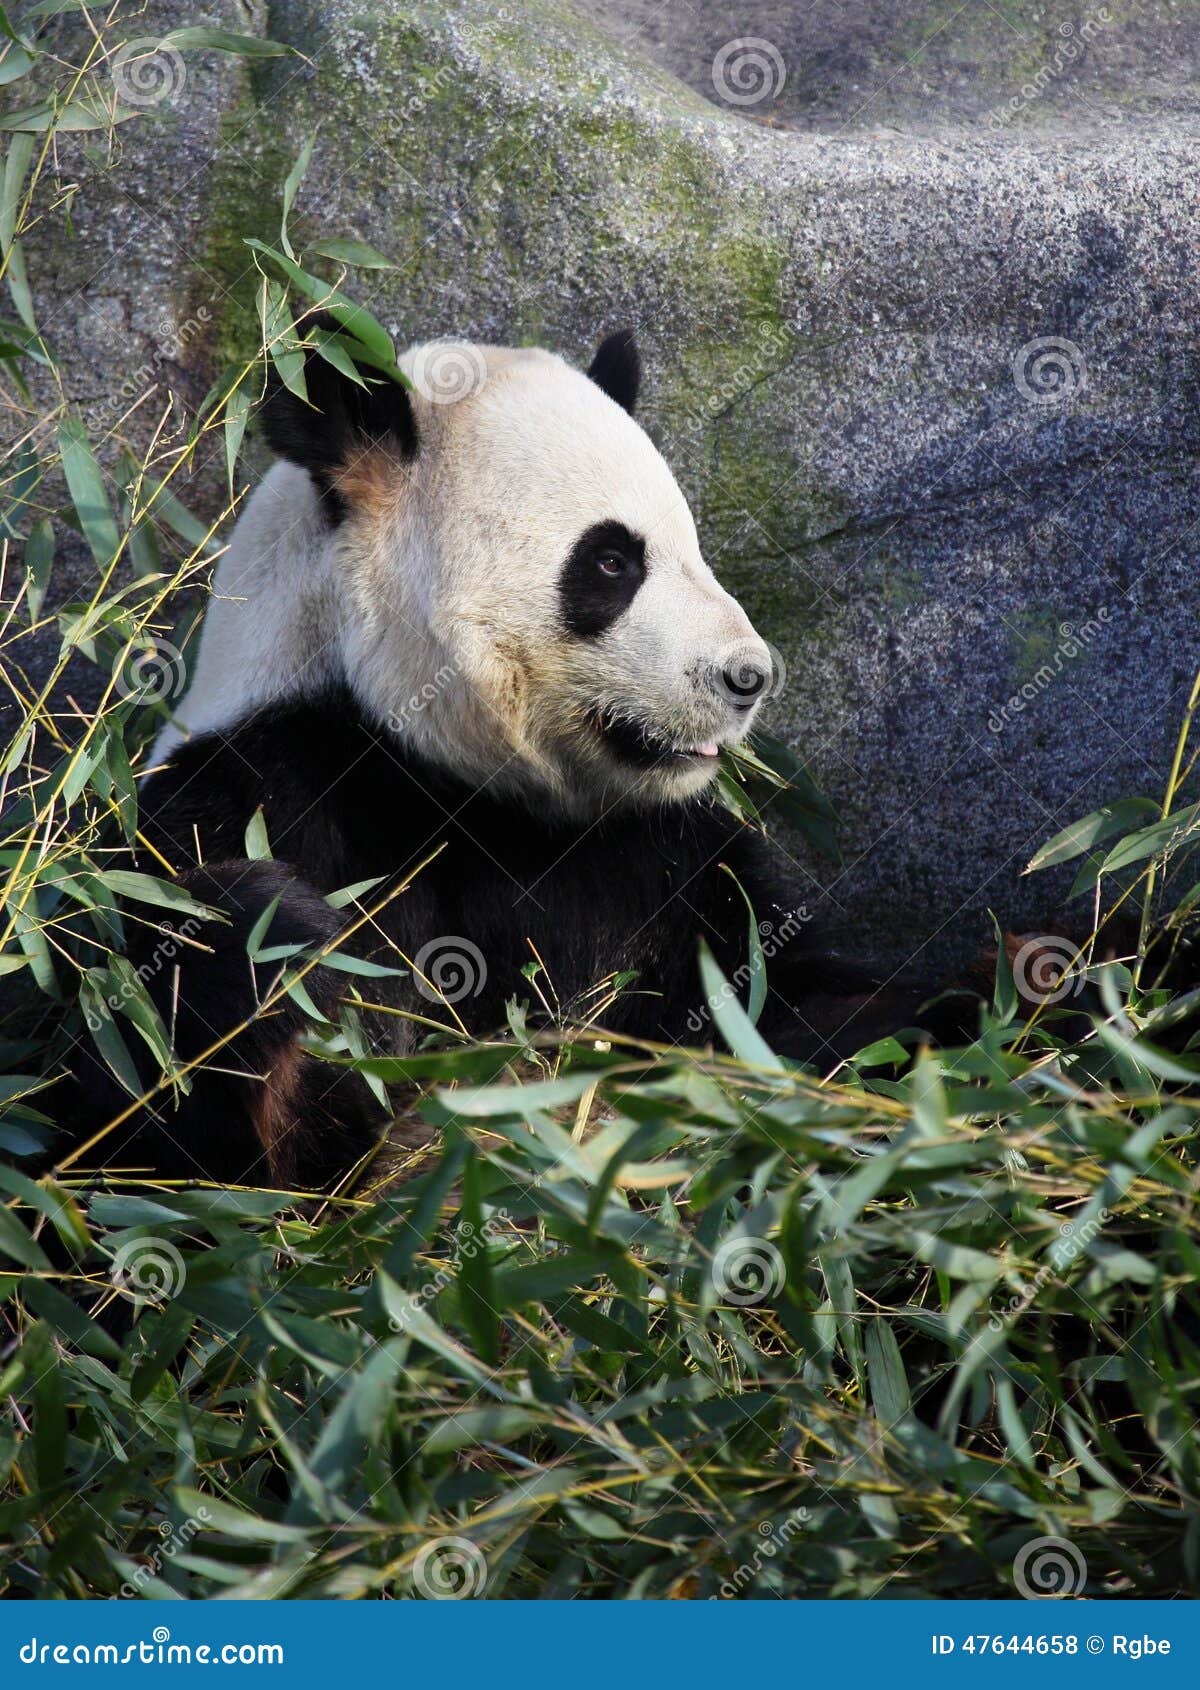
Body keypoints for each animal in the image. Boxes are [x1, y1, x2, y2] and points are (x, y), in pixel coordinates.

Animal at [63, 329, 964, 1188]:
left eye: (692, 545)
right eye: (612, 561)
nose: (747, 677)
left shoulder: (660, 854)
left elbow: (788, 1002)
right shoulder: (269, 783)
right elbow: (127, 1114)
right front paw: (276, 932)